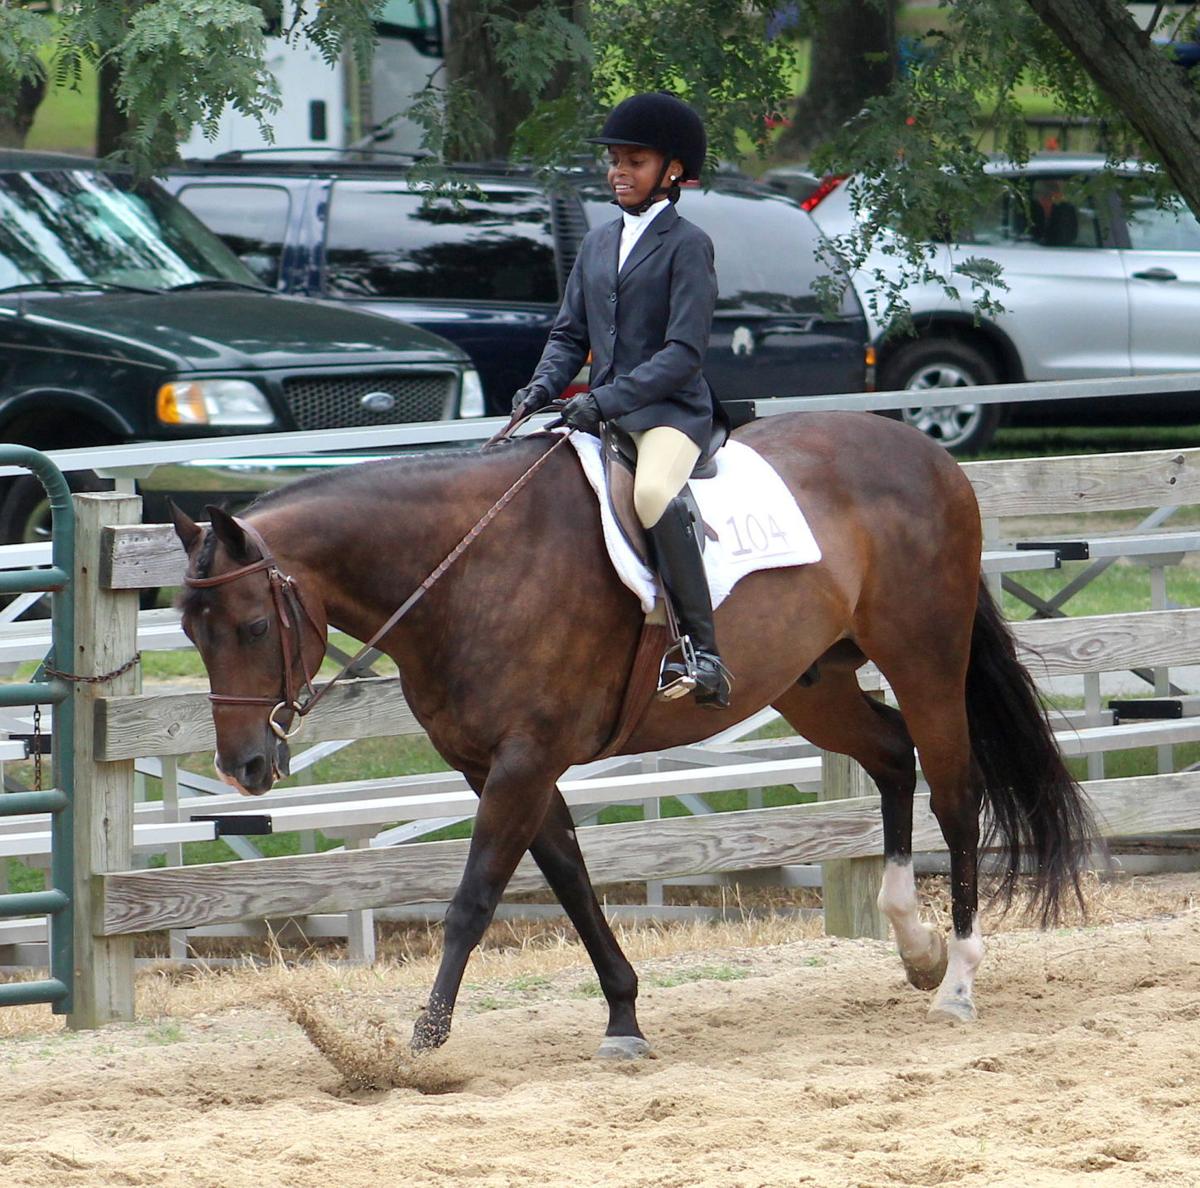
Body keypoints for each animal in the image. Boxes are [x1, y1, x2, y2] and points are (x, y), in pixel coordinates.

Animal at [170, 410, 1096, 1059]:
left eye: (253, 626)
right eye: (189, 631)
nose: (244, 766)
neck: (467, 571)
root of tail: (931, 456)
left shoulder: (524, 761)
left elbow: (474, 899)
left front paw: (423, 1042)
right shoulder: (498, 766)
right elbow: (573, 884)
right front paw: (622, 1016)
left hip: (924, 657)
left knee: (954, 790)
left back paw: (959, 982)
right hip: (815, 683)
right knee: (893, 755)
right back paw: (916, 945)